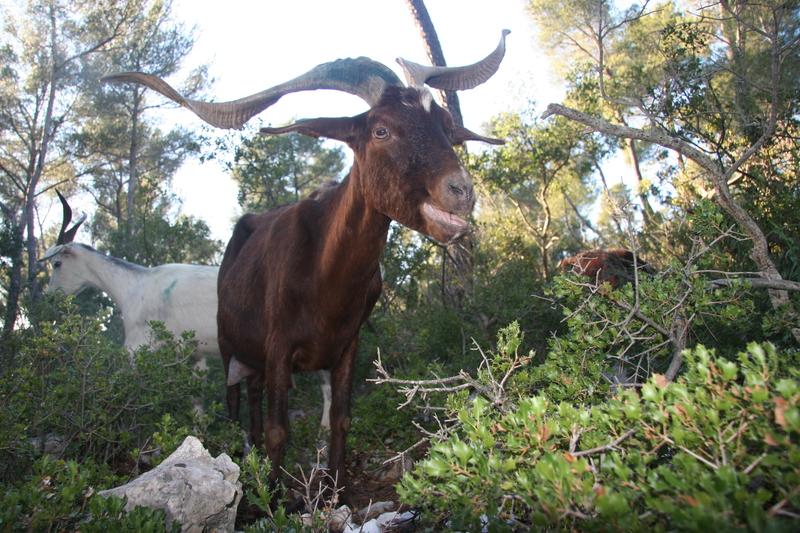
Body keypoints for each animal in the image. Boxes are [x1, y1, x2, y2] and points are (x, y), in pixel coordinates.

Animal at [40, 192, 332, 434]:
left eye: (57, 263)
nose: (50, 295)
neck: (133, 287)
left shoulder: (137, 347)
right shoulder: (194, 354)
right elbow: (196, 399)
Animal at [103, 30, 509, 496]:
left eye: (446, 126)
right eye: (381, 130)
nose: (460, 190)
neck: (325, 277)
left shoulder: (348, 346)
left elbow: (341, 418)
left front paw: (335, 488)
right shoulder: (279, 346)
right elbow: (280, 429)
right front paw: (273, 497)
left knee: (254, 397)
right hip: (228, 344)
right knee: (235, 400)